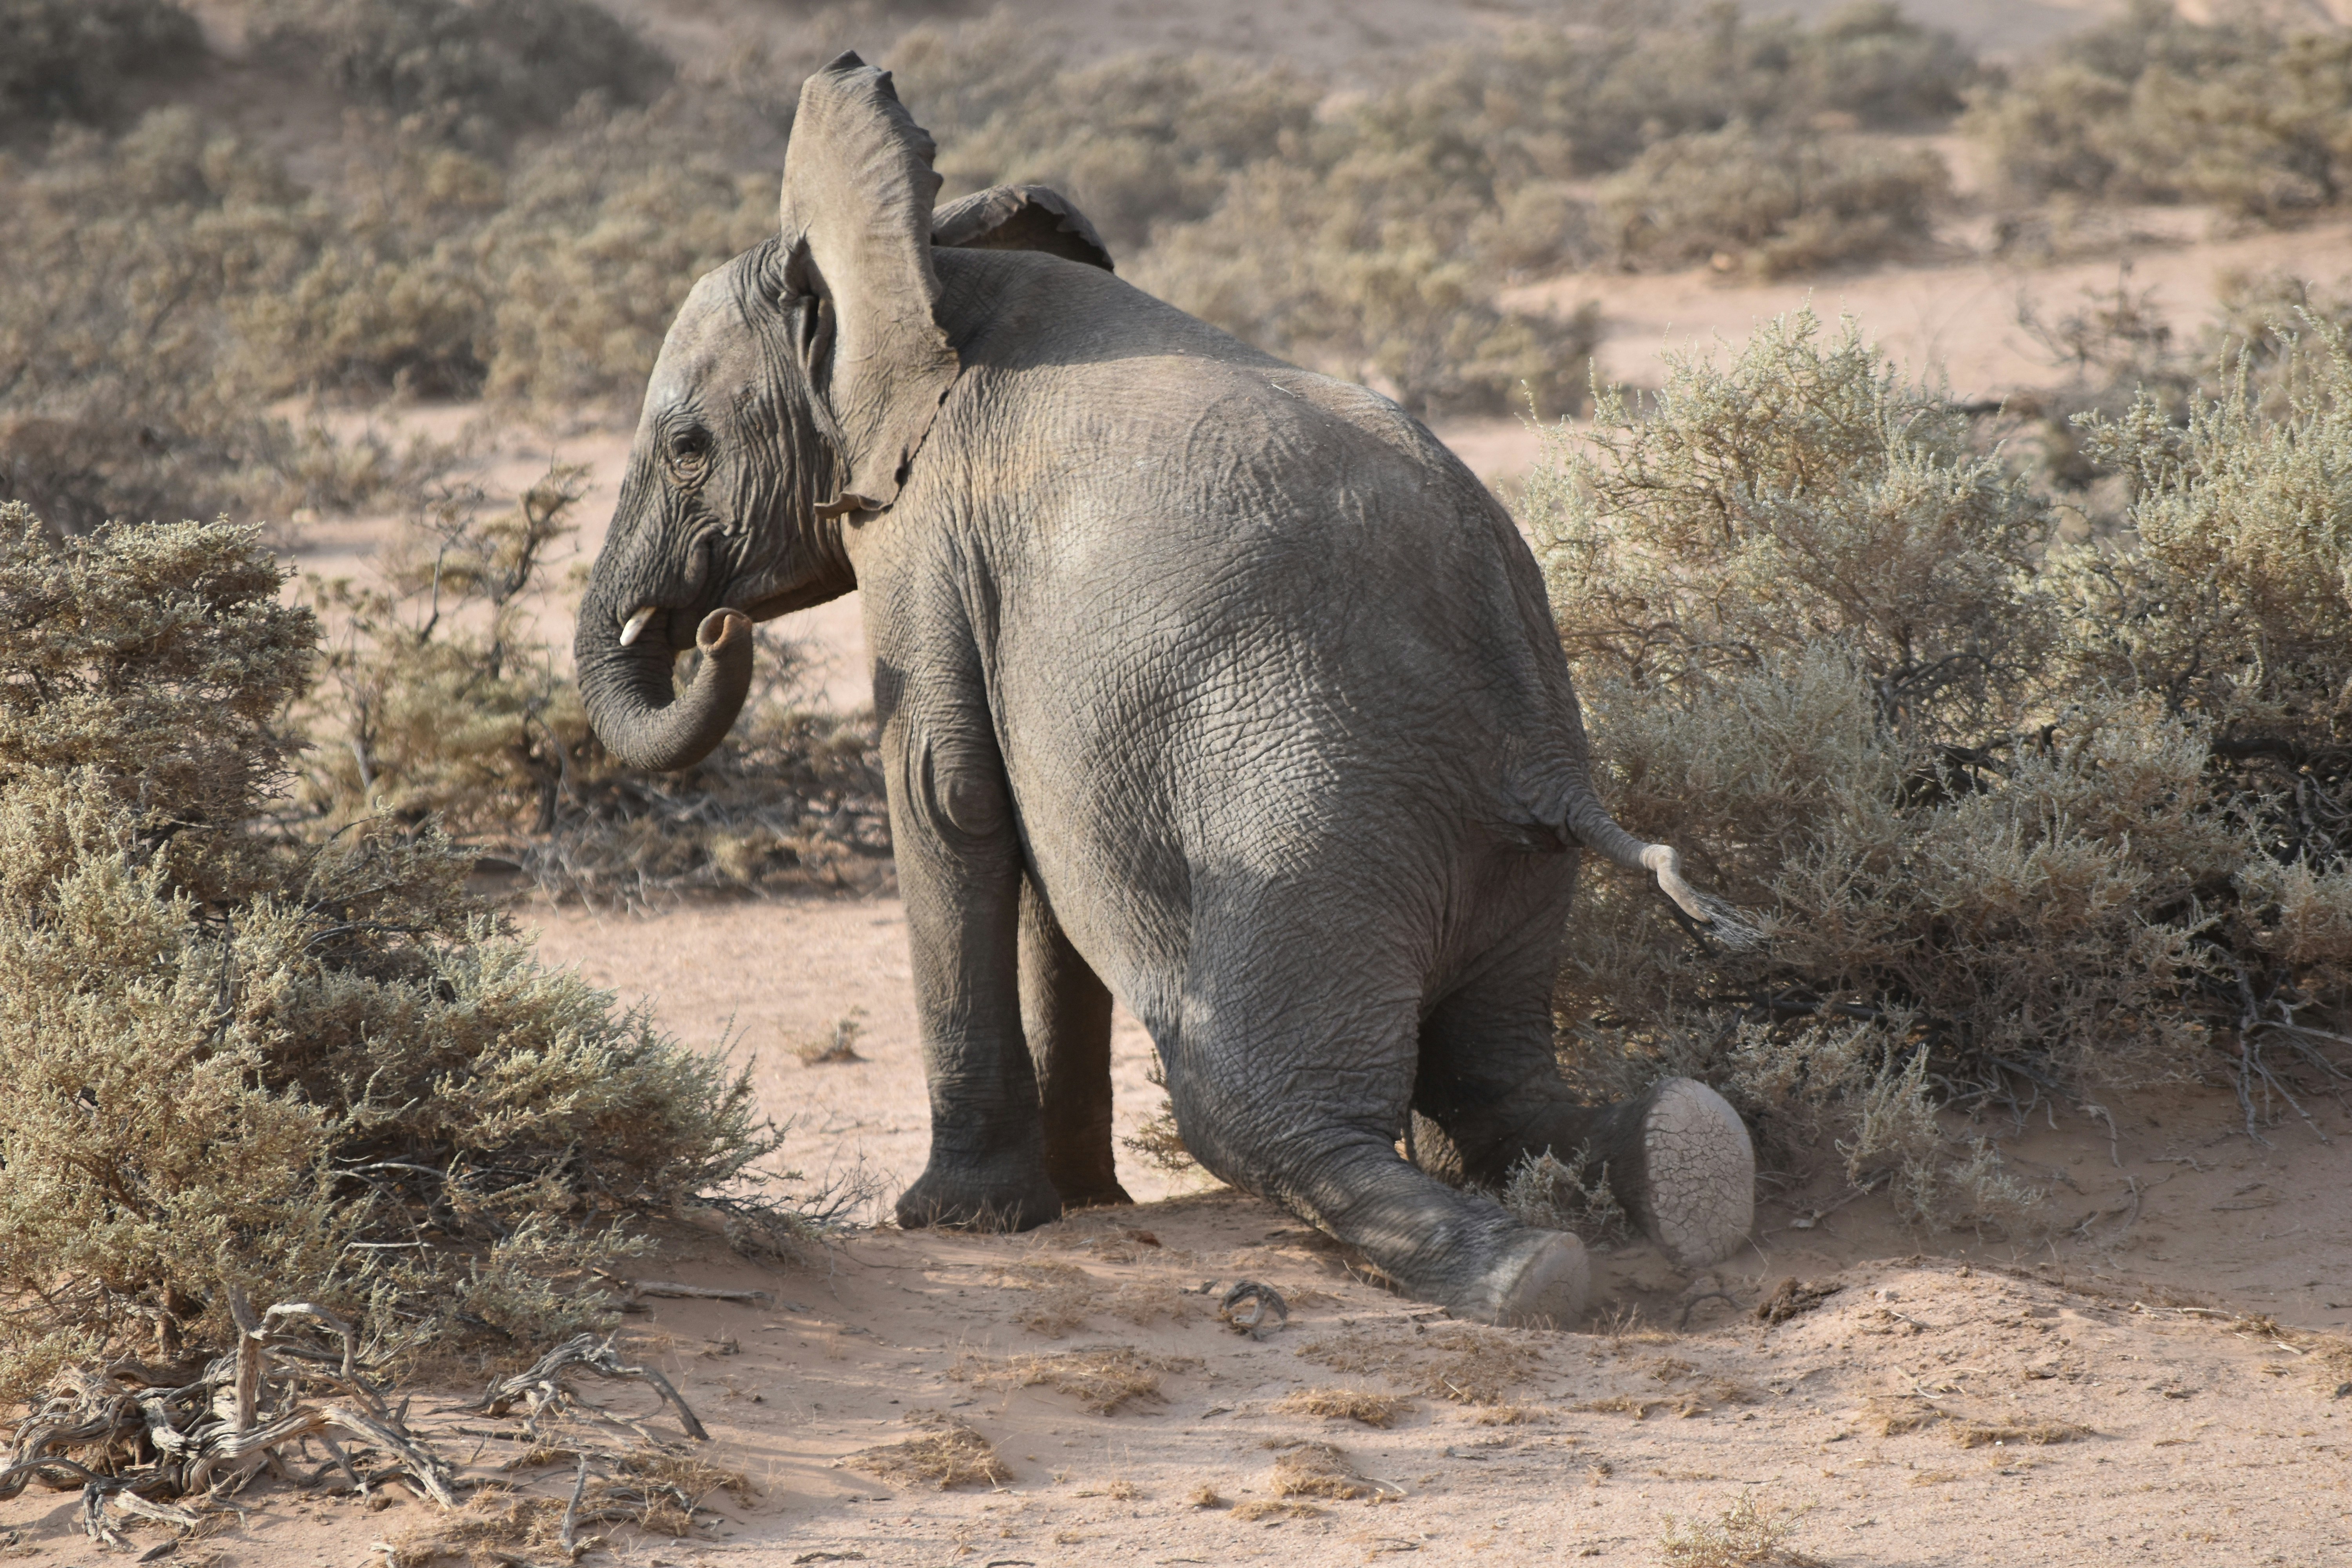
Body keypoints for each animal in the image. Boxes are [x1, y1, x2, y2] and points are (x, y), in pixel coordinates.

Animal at [574, 52, 1756, 1324]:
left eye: (687, 448)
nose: (711, 629)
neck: (932, 264)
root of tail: (1538, 767)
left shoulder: (925, 532)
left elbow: (946, 798)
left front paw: (961, 1219)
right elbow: (1034, 858)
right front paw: (1082, 1202)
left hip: (1323, 835)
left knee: (1256, 1106)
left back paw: (1525, 1275)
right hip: (1502, 870)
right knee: (1498, 1084)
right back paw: (1684, 1166)